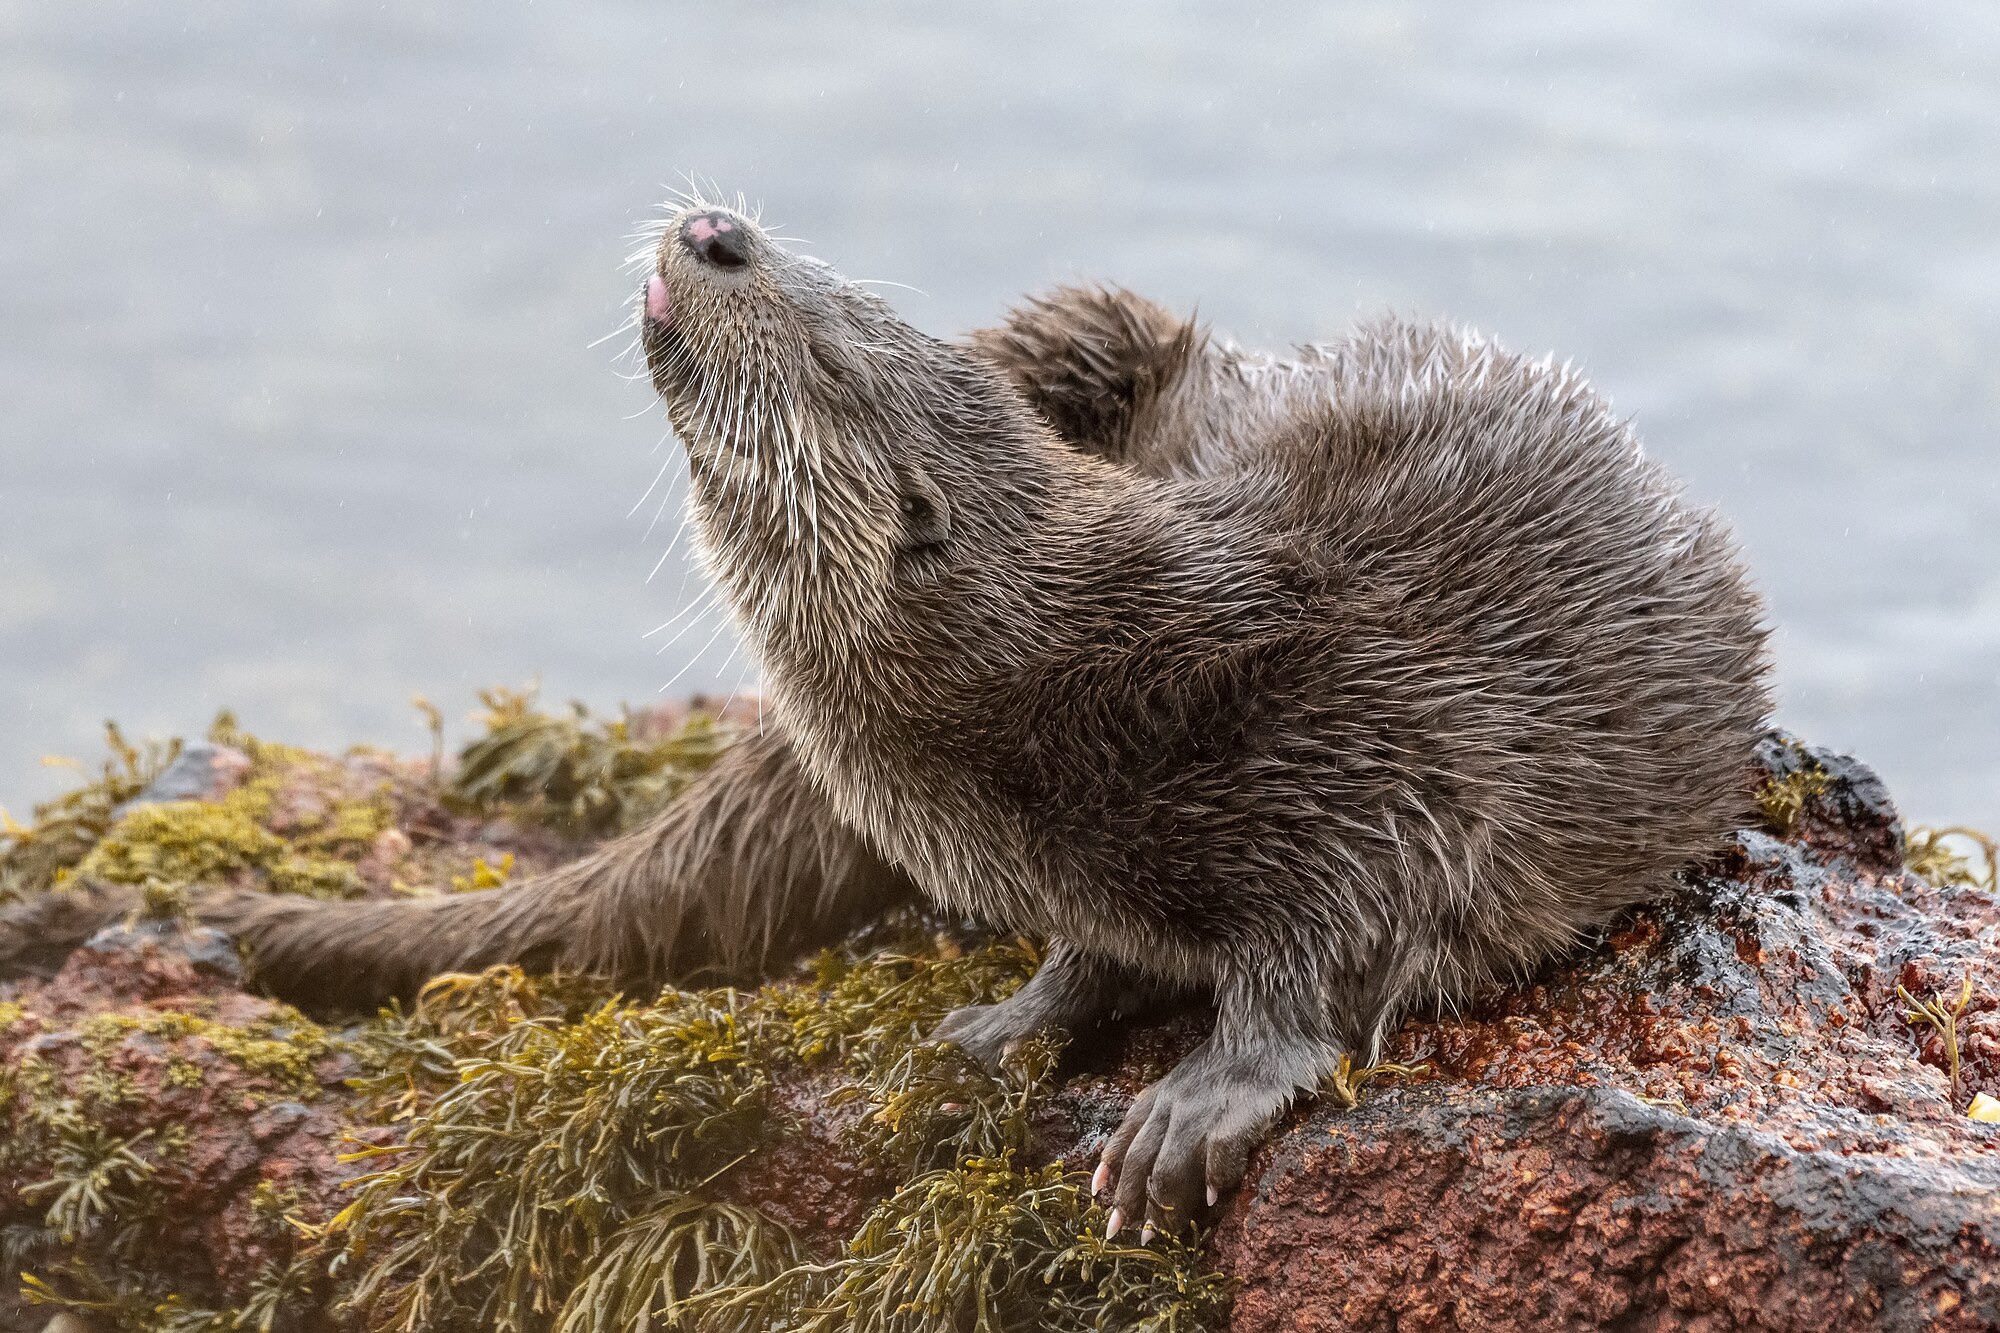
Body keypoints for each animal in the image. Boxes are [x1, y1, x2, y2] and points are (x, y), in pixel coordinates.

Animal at [0, 201, 1771, 1237]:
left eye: (838, 344)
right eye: (837, 286)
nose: (720, 225)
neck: (1075, 687)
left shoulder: (1362, 737)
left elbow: (1339, 942)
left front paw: (1196, 1101)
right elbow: (1101, 948)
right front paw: (1016, 1020)